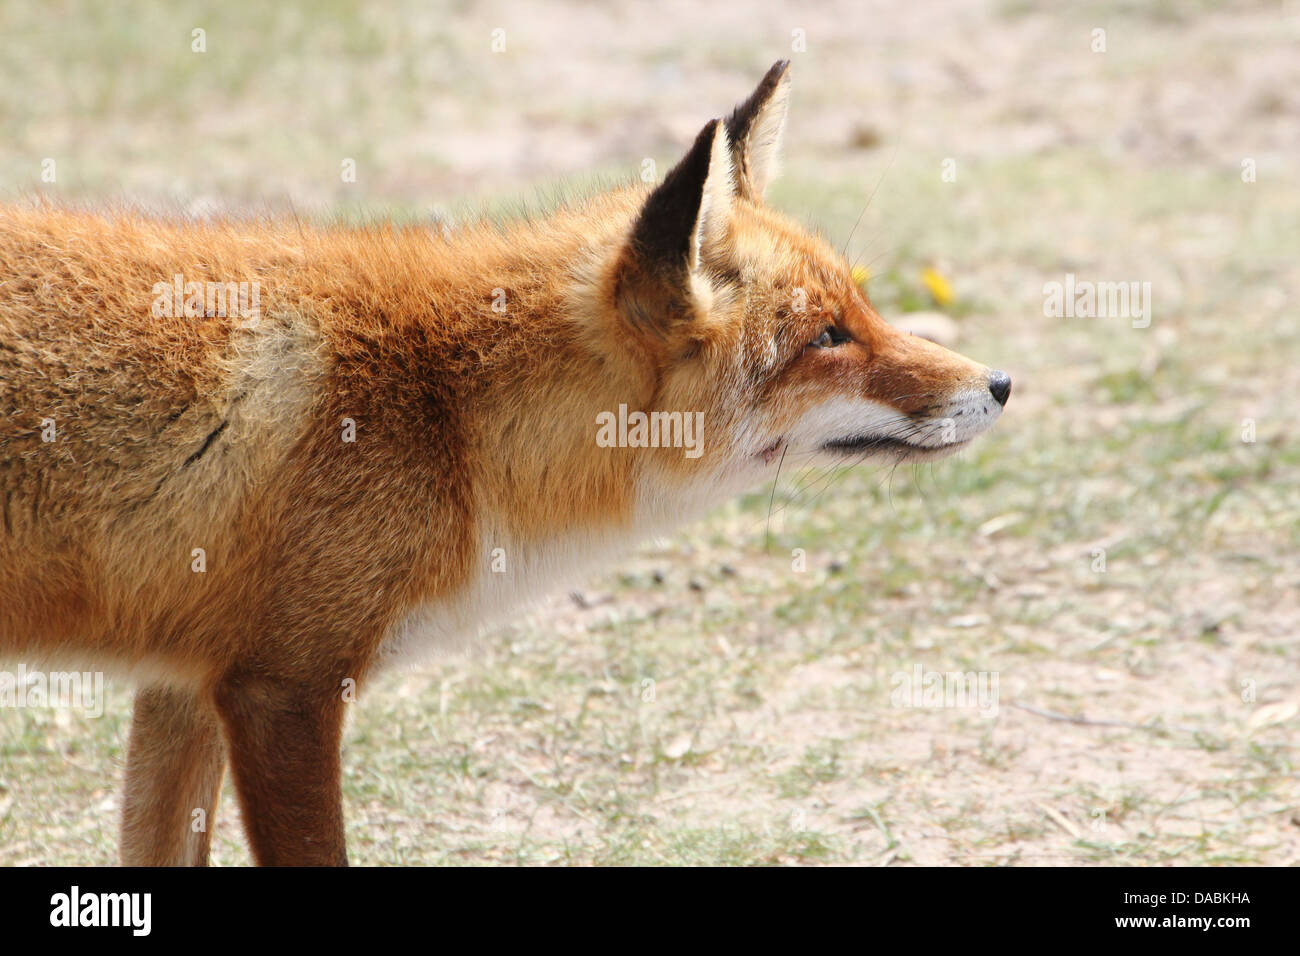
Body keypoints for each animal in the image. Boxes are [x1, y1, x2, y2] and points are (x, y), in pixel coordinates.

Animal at [0, 61, 1009, 866]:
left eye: (864, 309)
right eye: (828, 337)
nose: (1000, 383)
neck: (448, 414)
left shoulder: (184, 686)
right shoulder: (280, 689)